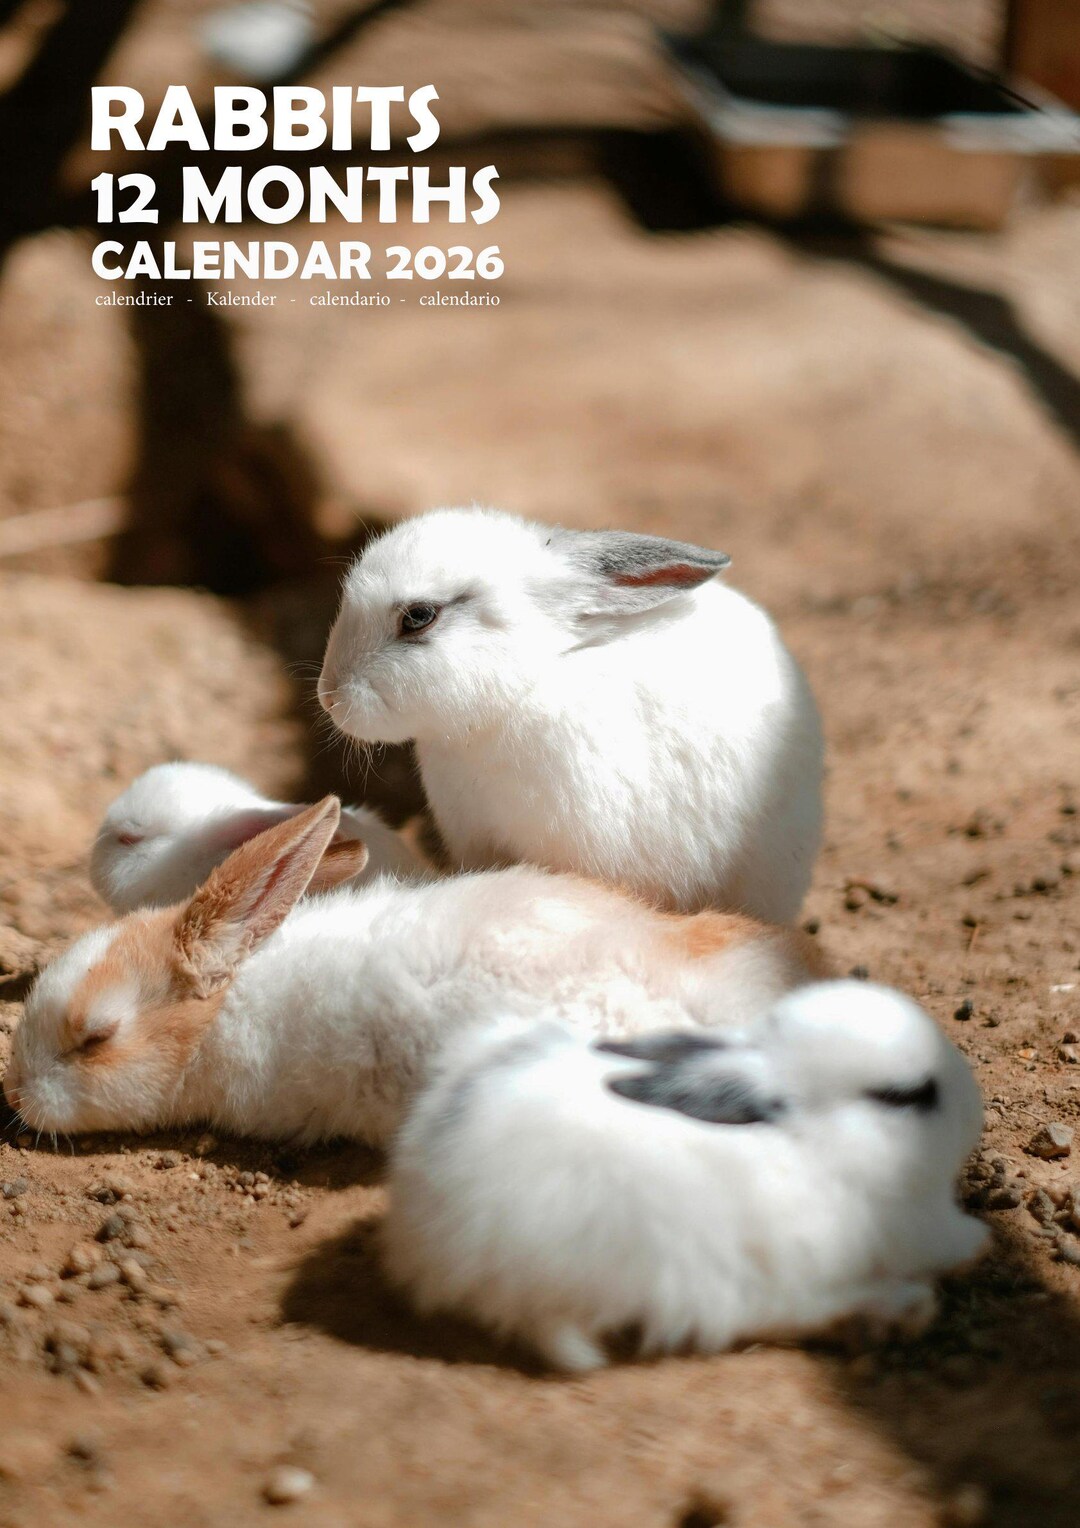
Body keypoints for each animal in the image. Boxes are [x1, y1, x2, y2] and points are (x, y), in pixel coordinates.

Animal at [383, 982, 988, 1371]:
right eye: (902, 1096)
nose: (974, 1108)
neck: (818, 1143)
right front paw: (979, 1245)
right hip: (692, 1269)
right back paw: (898, 1309)